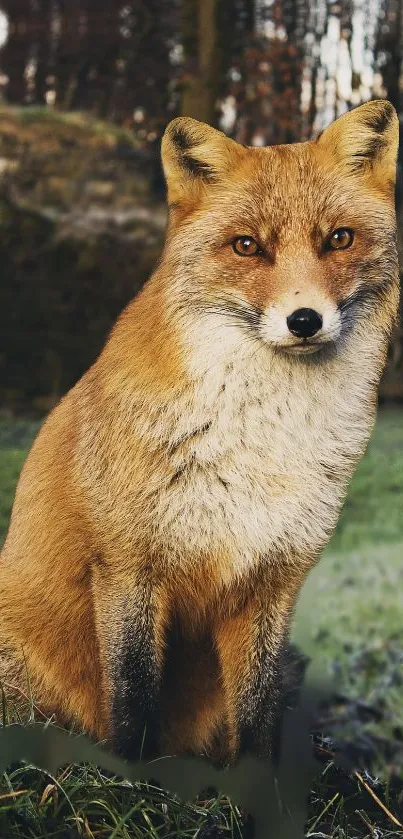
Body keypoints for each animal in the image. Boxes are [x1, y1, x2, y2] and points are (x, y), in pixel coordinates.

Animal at [0, 100, 399, 767]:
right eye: (247, 246)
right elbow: (134, 702)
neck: (262, 442)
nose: (305, 320)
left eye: (339, 239)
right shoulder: (129, 566)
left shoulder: (274, 582)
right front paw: (136, 780)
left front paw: (260, 791)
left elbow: (258, 721)